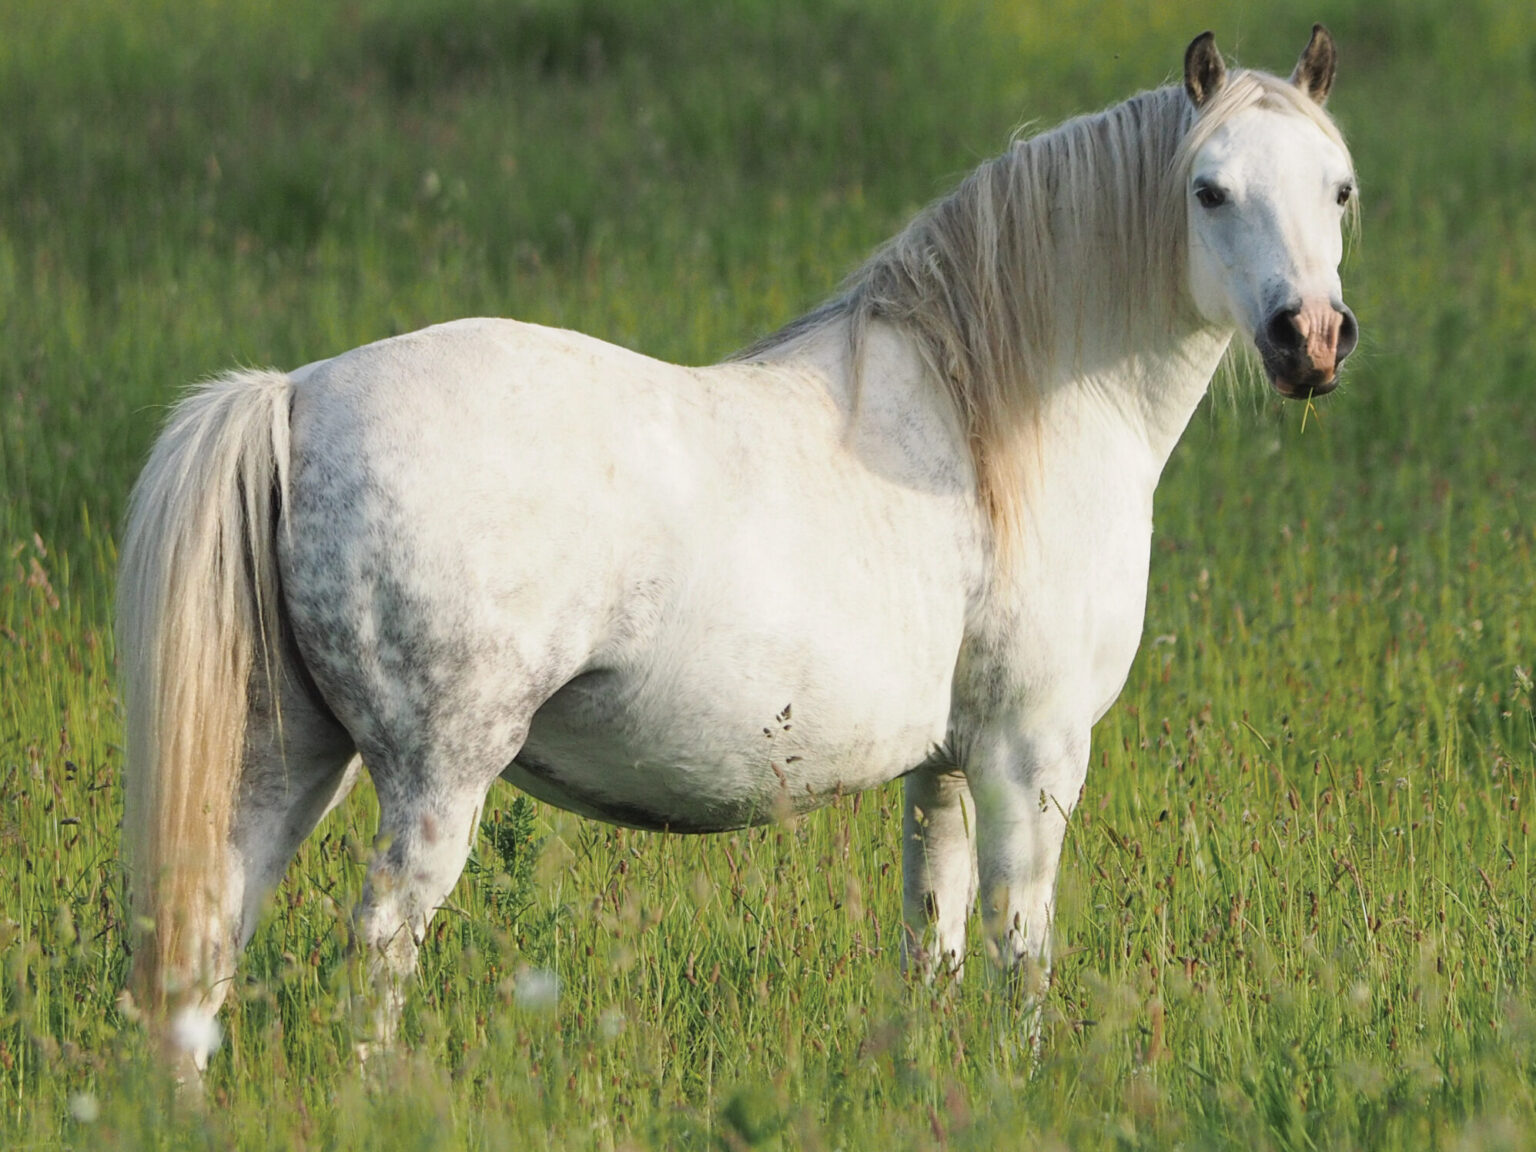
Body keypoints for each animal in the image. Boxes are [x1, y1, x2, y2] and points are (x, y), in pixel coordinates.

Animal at [117, 26, 1358, 1075]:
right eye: (1209, 190)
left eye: (1339, 189)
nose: (1312, 339)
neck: (998, 420)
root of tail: (295, 396)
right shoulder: (1028, 755)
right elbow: (1022, 946)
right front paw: (1030, 1082)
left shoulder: (946, 767)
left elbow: (937, 938)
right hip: (433, 779)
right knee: (377, 950)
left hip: (286, 761)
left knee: (205, 946)